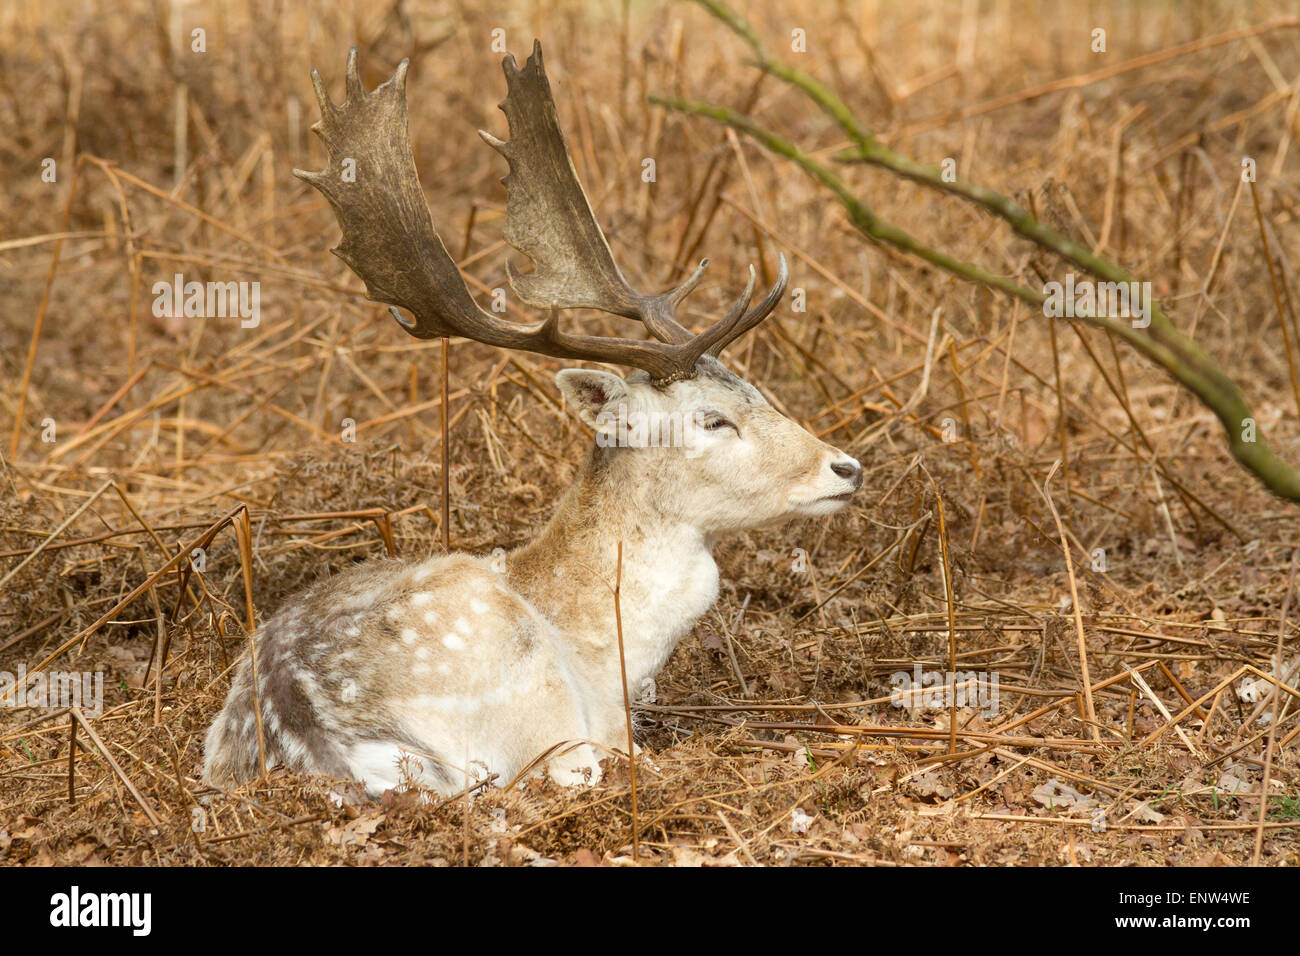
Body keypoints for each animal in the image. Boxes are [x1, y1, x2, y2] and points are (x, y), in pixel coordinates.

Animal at [203, 43, 863, 798]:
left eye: (757, 389)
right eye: (713, 420)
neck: (610, 655)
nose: (846, 466)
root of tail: (319, 738)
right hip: (523, 697)